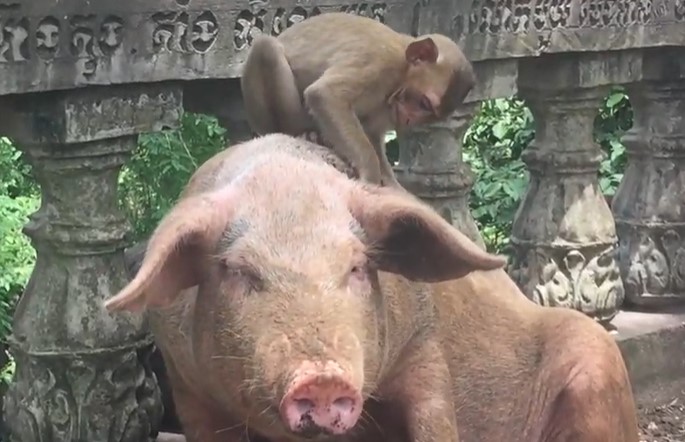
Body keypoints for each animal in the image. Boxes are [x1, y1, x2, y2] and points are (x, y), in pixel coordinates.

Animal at [105, 133, 639, 442]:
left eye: (358, 267)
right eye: (239, 271)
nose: (321, 377)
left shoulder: (422, 348)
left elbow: (435, 417)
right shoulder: (190, 391)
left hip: (599, 365)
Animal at [240, 12, 476, 189]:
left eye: (428, 114)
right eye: (423, 103)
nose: (409, 120)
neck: (402, 69)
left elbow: (372, 132)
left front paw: (392, 184)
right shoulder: (379, 64)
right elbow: (325, 94)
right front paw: (370, 175)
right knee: (265, 48)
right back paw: (303, 132)